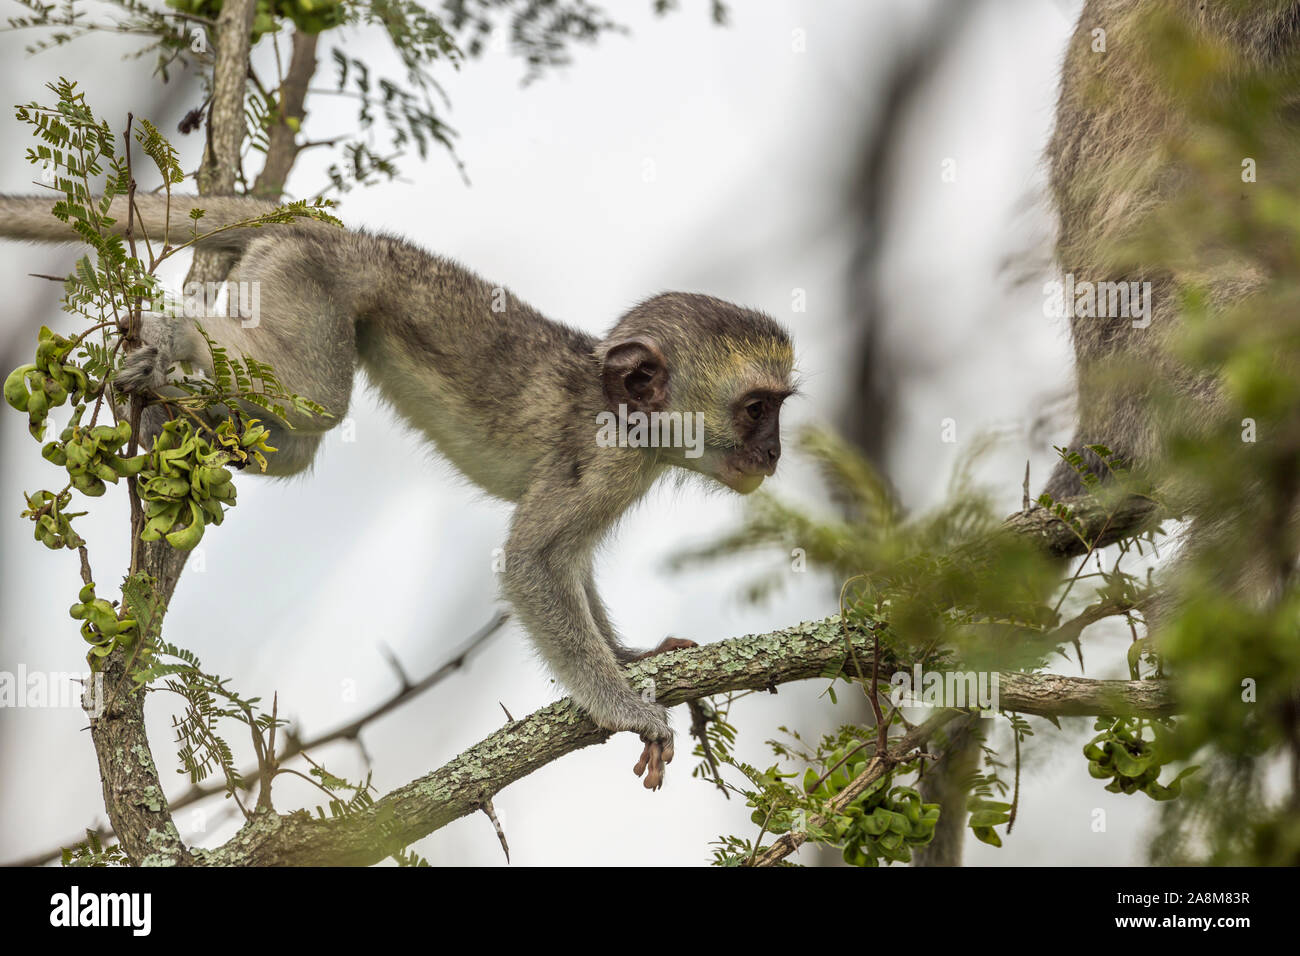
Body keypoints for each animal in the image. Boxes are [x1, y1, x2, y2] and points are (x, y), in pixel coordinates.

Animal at [0, 192, 796, 790]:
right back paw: (170, 338)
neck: (620, 408)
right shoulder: (601, 461)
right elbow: (533, 564)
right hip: (309, 284)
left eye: (778, 410)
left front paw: (631, 659)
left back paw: (168, 407)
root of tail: (345, 237)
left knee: (296, 441)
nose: (775, 454)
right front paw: (627, 707)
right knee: (316, 399)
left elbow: (564, 566)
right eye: (758, 409)